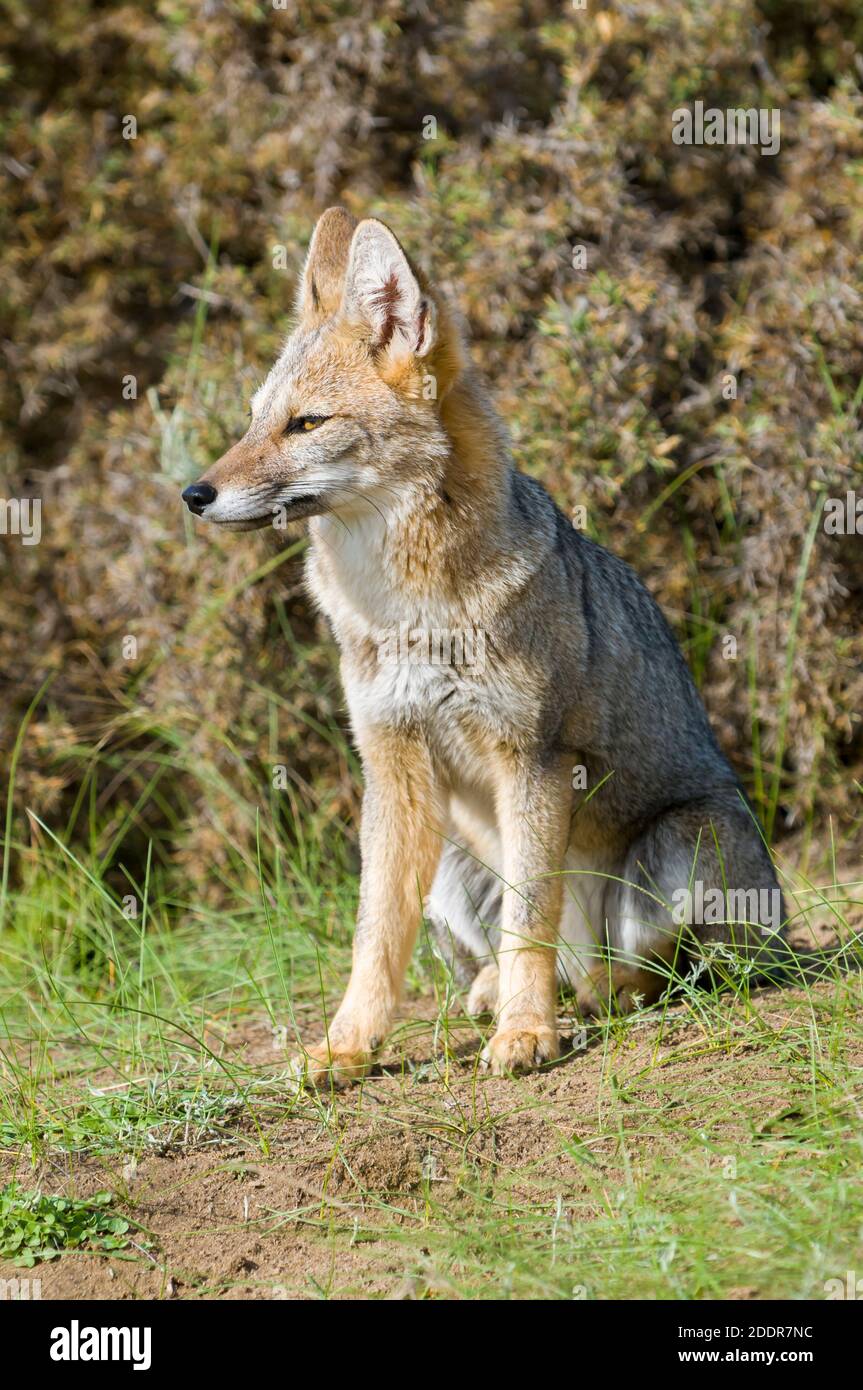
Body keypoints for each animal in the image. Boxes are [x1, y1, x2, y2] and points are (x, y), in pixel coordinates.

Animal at [182, 206, 793, 1084]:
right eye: (255, 420)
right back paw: (497, 995)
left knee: (651, 974)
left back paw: (579, 997)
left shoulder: (532, 757)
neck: (406, 612)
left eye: (305, 424)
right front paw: (347, 1046)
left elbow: (529, 917)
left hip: (676, 852)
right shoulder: (392, 764)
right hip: (449, 860)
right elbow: (375, 937)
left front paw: (526, 1033)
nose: (192, 494)